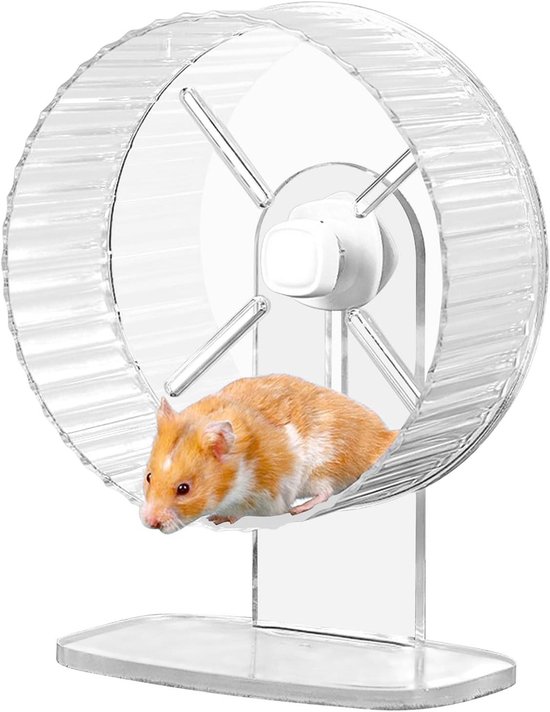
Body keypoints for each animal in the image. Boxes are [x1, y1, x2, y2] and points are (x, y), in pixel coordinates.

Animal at [140, 374, 397, 533]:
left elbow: (242, 511)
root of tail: (385, 436)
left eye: (184, 489)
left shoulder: (265, 496)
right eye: (149, 477)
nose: (150, 523)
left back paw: (298, 509)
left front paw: (219, 519)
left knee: (325, 492)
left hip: (322, 466)